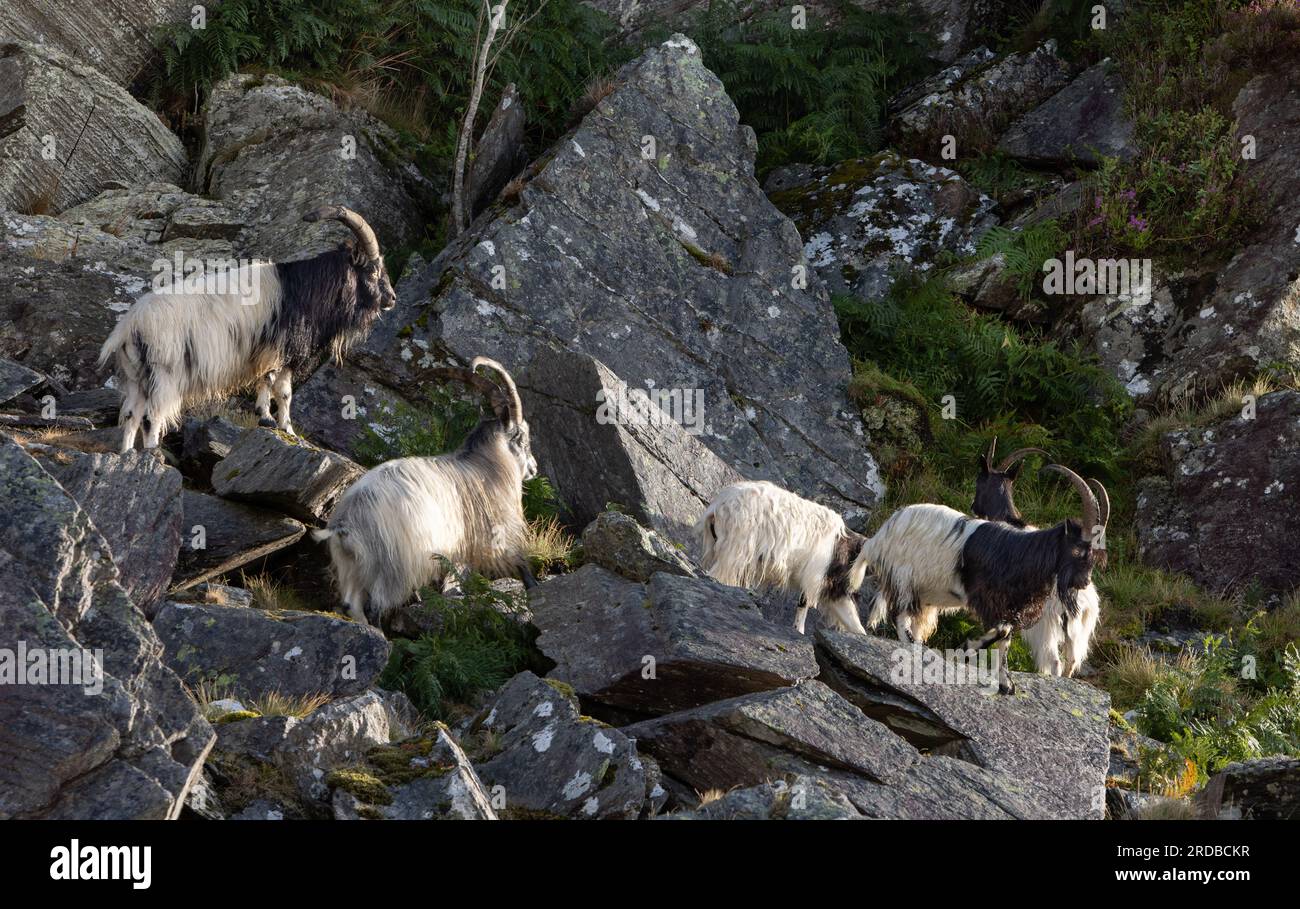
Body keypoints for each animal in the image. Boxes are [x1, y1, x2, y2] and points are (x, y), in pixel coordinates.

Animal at [98, 206, 396, 453]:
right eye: (372, 271)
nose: (391, 298)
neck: (301, 289)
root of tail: (130, 326)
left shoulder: (277, 354)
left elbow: (277, 388)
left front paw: (283, 427)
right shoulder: (277, 351)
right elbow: (276, 387)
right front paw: (272, 420)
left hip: (136, 378)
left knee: (131, 416)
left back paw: (126, 454)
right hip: (164, 376)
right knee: (151, 417)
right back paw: (152, 455)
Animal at [312, 358, 538, 627]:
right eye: (522, 439)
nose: (534, 468)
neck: (484, 466)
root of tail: (345, 524)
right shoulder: (494, 533)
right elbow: (519, 561)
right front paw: (534, 589)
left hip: (351, 567)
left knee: (352, 606)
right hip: (390, 566)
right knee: (375, 607)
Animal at [696, 480, 869, 635]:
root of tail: (718, 506)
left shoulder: (833, 588)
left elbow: (850, 619)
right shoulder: (817, 577)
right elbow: (805, 605)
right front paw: (799, 630)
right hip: (736, 549)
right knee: (719, 575)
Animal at [860, 465, 1109, 693]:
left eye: (1093, 556)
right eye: (1077, 550)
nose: (1083, 582)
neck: (1022, 553)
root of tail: (882, 533)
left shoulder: (1012, 608)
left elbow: (1005, 637)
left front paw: (1005, 683)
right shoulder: (989, 599)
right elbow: (1002, 632)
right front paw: (966, 649)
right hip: (907, 577)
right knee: (901, 615)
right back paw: (913, 646)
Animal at [972, 439, 1106, 678]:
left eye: (979, 482)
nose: (973, 508)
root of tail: (1081, 599)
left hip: (1045, 627)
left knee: (1054, 662)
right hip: (1077, 631)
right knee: (1071, 662)